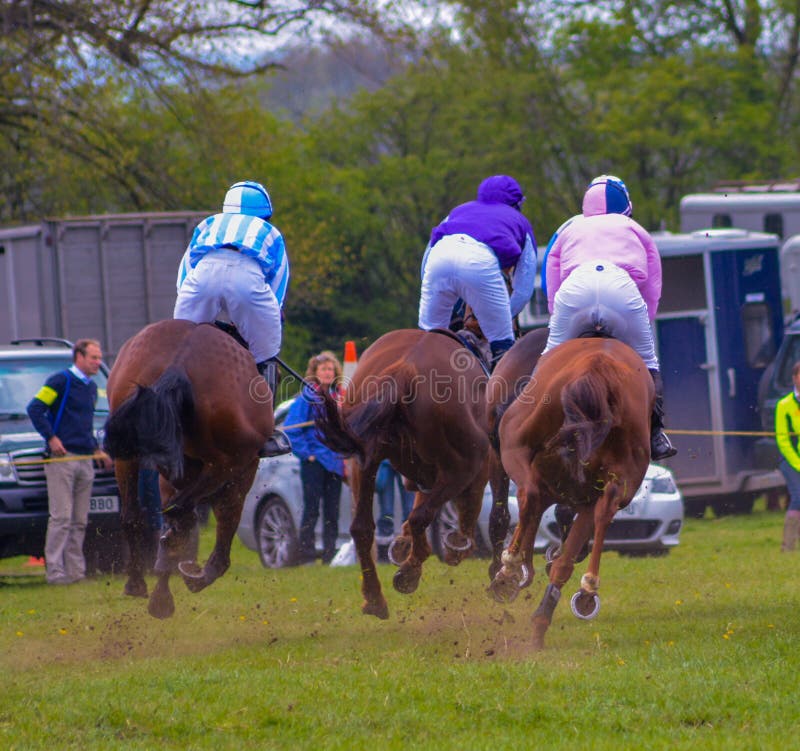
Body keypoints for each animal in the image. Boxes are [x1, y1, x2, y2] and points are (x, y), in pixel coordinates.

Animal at [103, 319, 272, 619]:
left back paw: (139, 583)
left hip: (128, 454)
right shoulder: (241, 467)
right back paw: (196, 573)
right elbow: (222, 515)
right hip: (231, 462)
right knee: (193, 510)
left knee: (135, 515)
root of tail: (179, 363)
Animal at [313, 328, 491, 619]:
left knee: (362, 527)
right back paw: (410, 573)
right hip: (464, 466)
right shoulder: (476, 466)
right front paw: (457, 546)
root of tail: (404, 369)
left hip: (364, 459)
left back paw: (375, 597)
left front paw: (401, 544)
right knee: (423, 516)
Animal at [487, 337, 652, 649]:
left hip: (515, 447)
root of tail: (597, 371)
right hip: (611, 483)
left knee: (528, 498)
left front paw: (516, 570)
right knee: (600, 514)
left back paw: (510, 573)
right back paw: (580, 595)